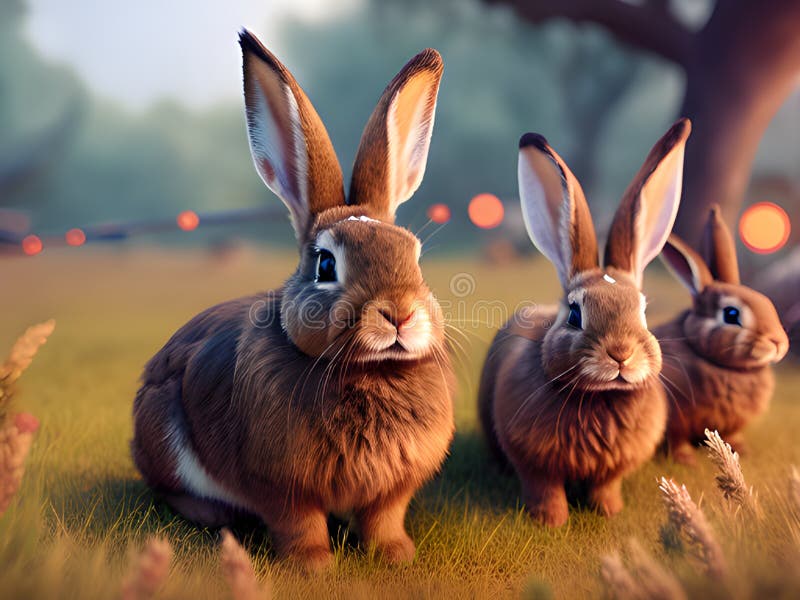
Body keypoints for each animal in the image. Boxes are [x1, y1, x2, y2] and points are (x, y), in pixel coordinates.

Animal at [131, 30, 454, 572]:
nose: (400, 313)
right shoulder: (281, 485)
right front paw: (313, 565)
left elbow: (383, 517)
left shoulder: (392, 490)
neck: (370, 371)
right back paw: (214, 515)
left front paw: (396, 555)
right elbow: (298, 521)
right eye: (325, 265)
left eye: (415, 256)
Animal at [478, 119, 691, 527]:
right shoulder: (535, 464)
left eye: (643, 311)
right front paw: (551, 521)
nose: (621, 354)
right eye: (575, 314)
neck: (601, 398)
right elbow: (545, 489)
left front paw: (609, 511)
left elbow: (605, 486)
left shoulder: (613, 468)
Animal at [654, 205, 789, 464]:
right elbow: (675, 438)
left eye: (766, 302)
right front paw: (685, 459)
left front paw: (743, 451)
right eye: (731, 314)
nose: (778, 343)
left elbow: (732, 435)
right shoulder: (675, 416)